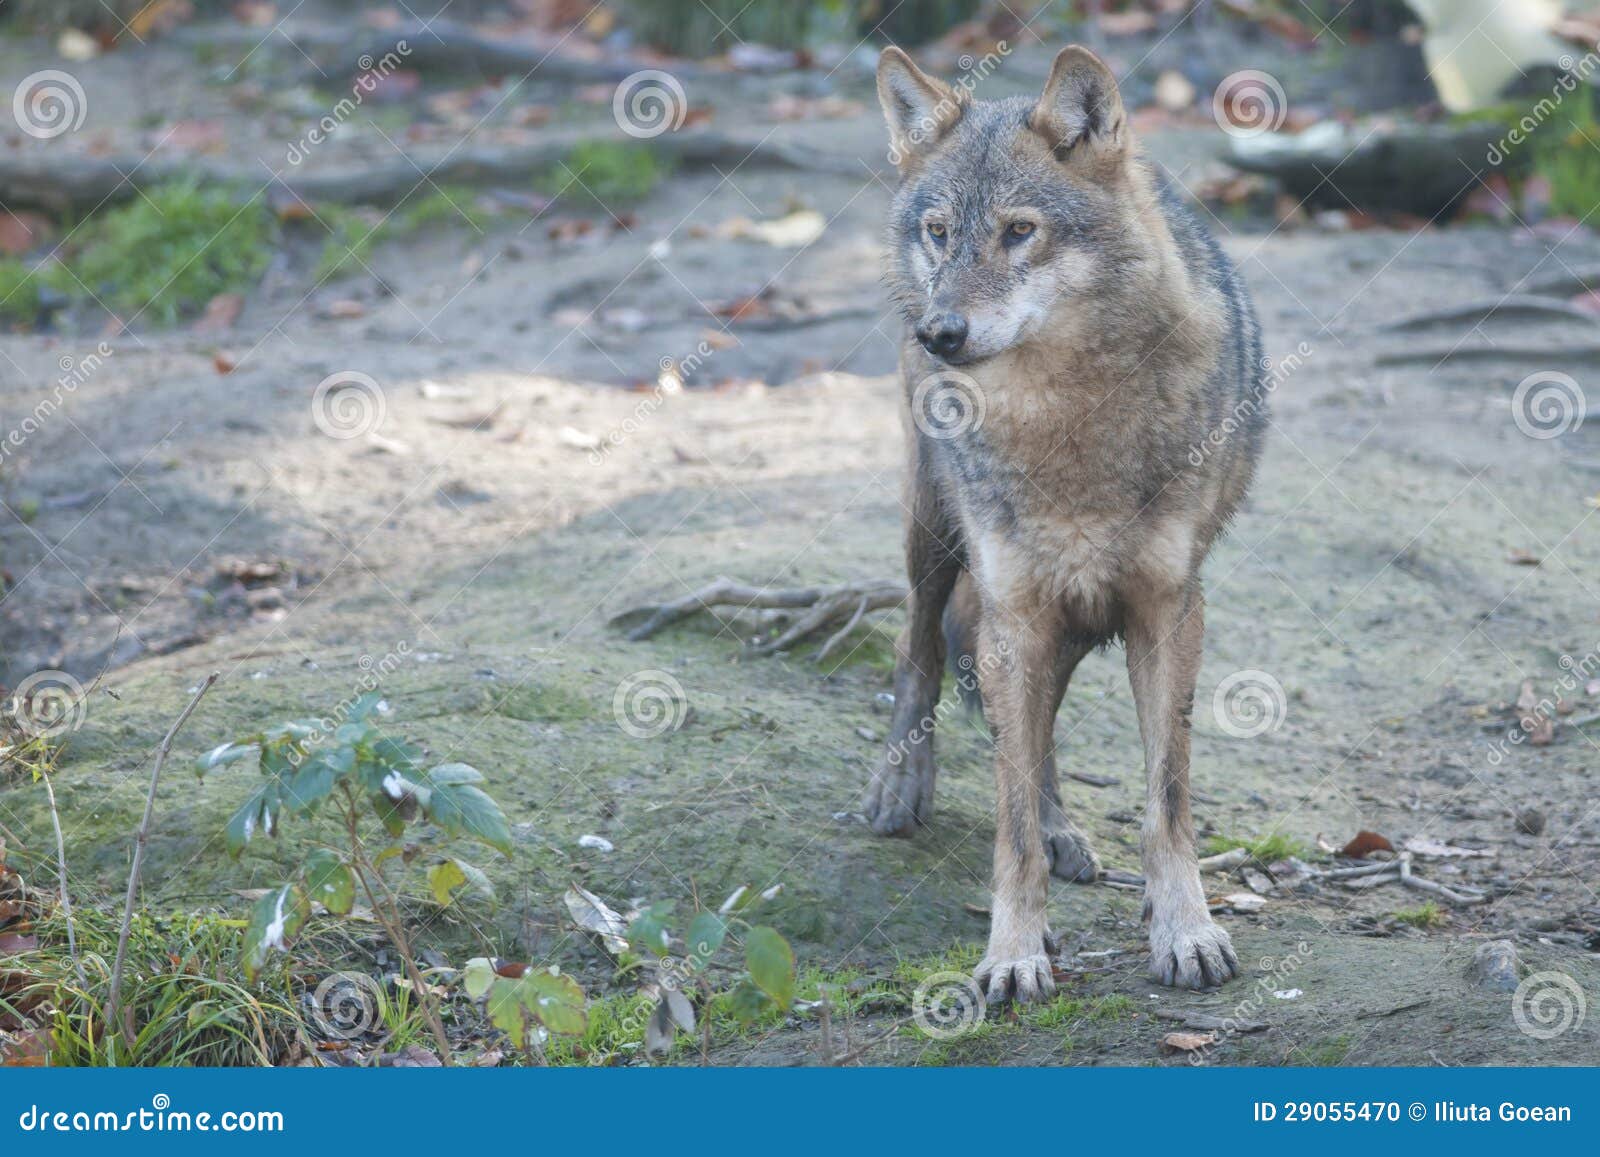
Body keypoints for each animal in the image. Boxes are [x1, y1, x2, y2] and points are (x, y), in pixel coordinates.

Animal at [863, 45, 1267, 1000]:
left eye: (1020, 231)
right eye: (940, 232)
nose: (941, 333)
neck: (1066, 425)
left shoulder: (1167, 609)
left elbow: (1166, 799)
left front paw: (1186, 928)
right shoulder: (1016, 608)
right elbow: (1006, 817)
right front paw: (1012, 953)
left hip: (1075, 615)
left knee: (1031, 728)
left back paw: (1064, 831)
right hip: (939, 540)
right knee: (921, 646)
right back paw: (901, 785)